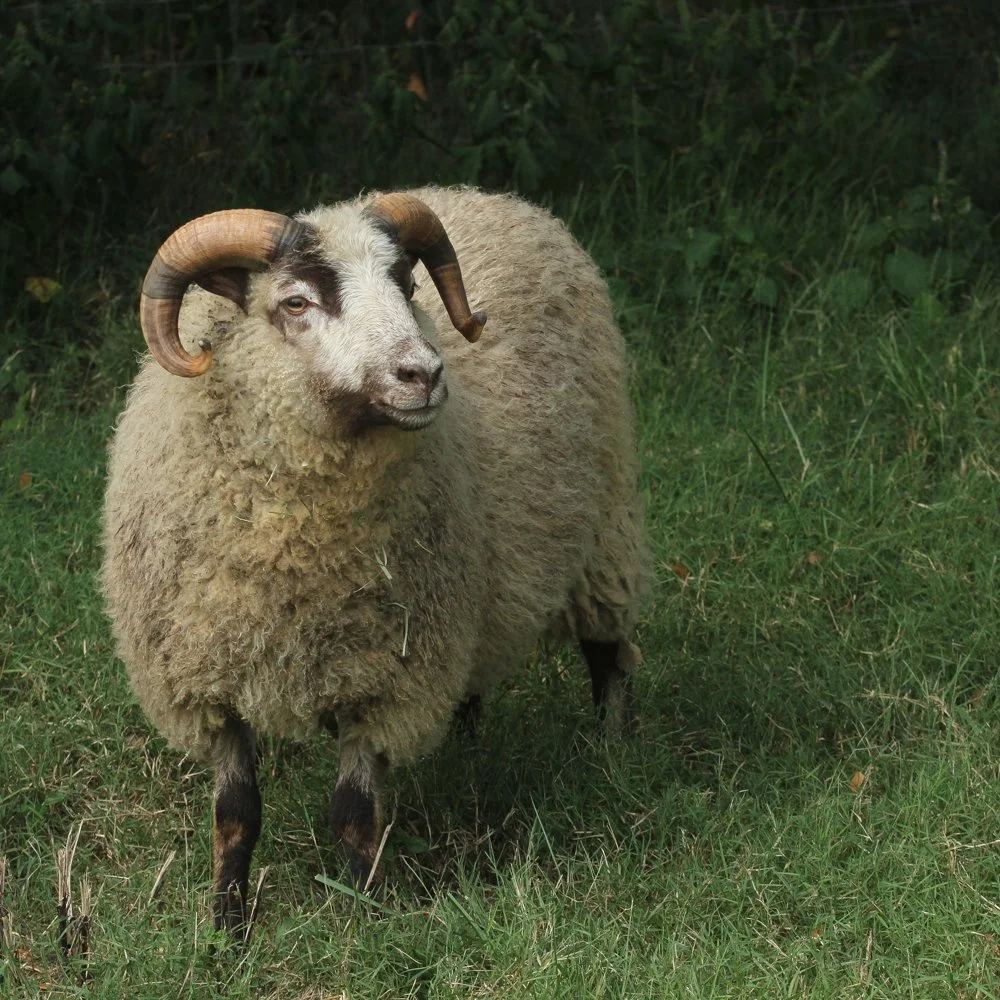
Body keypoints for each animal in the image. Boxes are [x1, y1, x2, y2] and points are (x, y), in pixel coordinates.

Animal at [102, 185, 647, 932]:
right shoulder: (209, 676)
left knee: (608, 654)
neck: (293, 549)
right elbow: (235, 814)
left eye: (407, 284)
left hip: (605, 530)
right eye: (295, 302)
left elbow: (354, 814)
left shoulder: (385, 677)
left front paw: (367, 921)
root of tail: (506, 201)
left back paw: (613, 753)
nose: (423, 374)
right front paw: (226, 927)